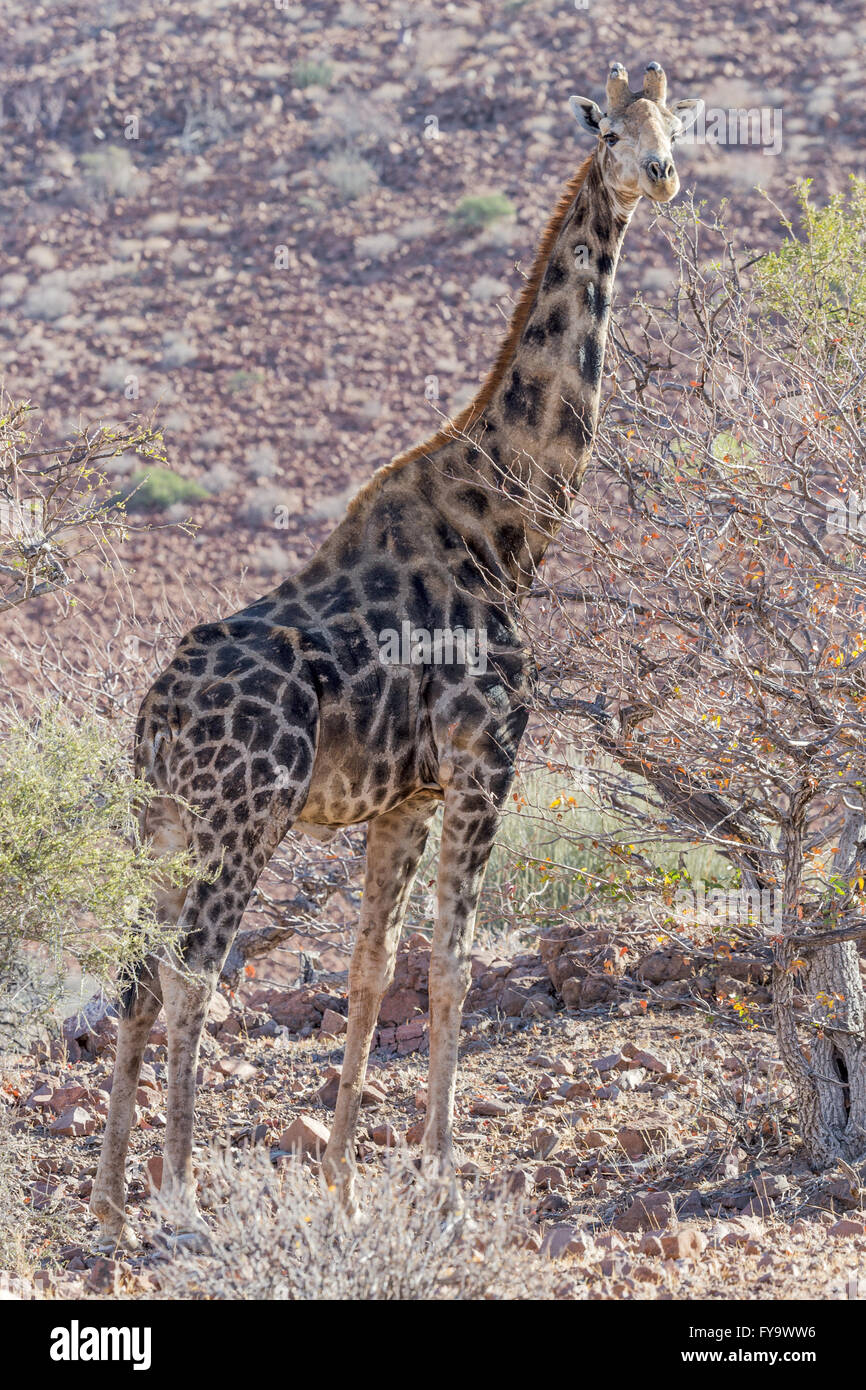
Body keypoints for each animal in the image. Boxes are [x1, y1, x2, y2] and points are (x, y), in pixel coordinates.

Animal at [91, 60, 701, 1248]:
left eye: (670, 124)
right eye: (609, 130)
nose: (657, 174)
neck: (508, 532)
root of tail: (155, 717)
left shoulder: (404, 797)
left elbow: (376, 971)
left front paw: (341, 1183)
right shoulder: (485, 758)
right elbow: (455, 968)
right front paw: (443, 1183)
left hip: (163, 818)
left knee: (138, 972)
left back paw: (104, 1204)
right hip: (243, 814)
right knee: (192, 973)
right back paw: (178, 1196)